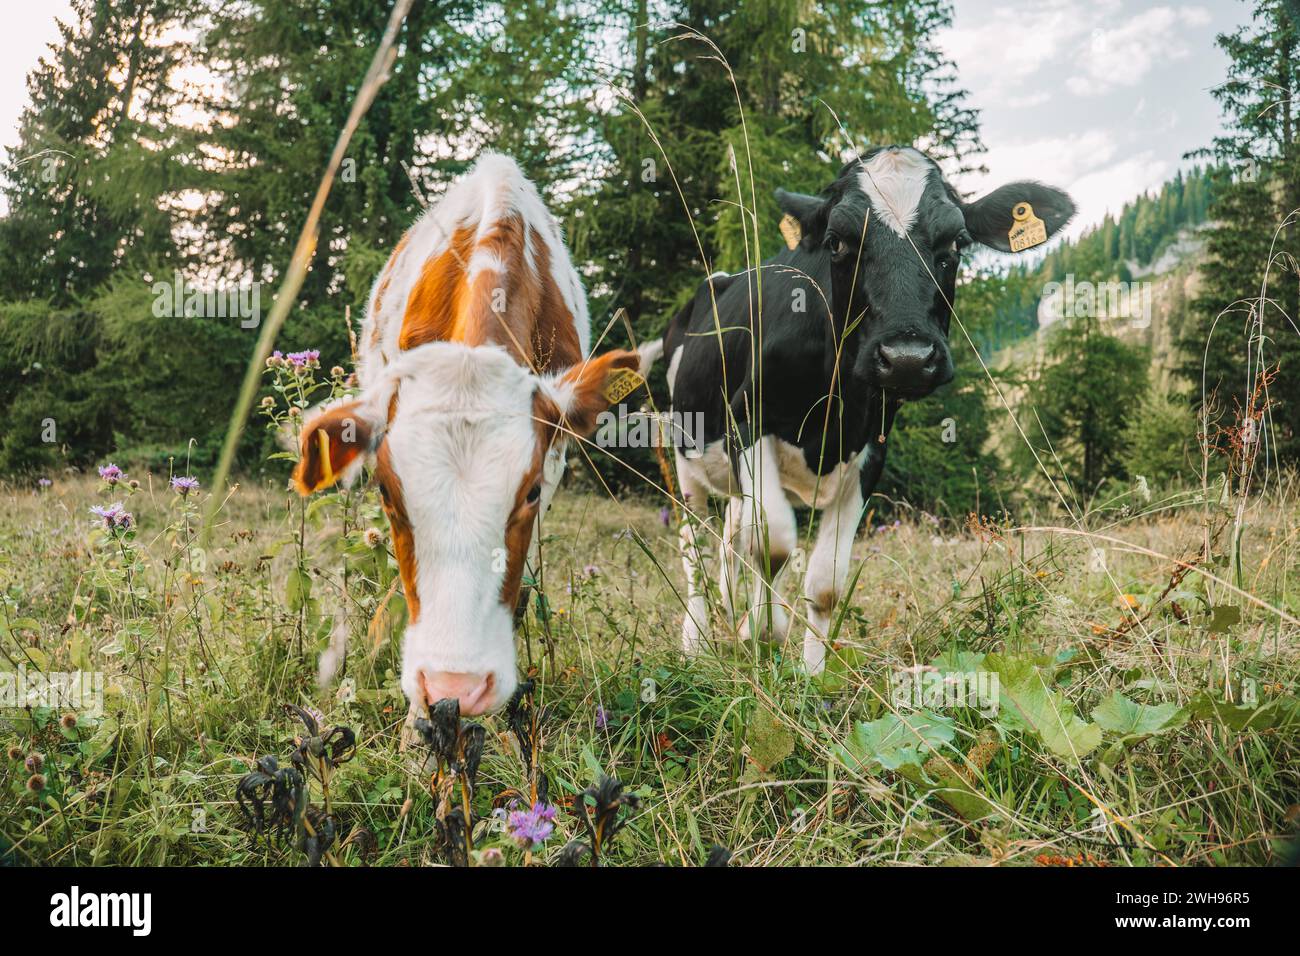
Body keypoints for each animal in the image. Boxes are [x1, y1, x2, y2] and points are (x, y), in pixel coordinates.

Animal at [654, 145, 1074, 672]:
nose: (908, 357)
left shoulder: (871, 450)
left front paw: (810, 674)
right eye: (836, 242)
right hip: (684, 454)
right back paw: (697, 639)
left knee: (733, 532)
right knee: (696, 549)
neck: (835, 400)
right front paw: (763, 630)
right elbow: (772, 542)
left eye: (957, 242)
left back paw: (731, 610)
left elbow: (825, 582)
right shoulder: (746, 421)